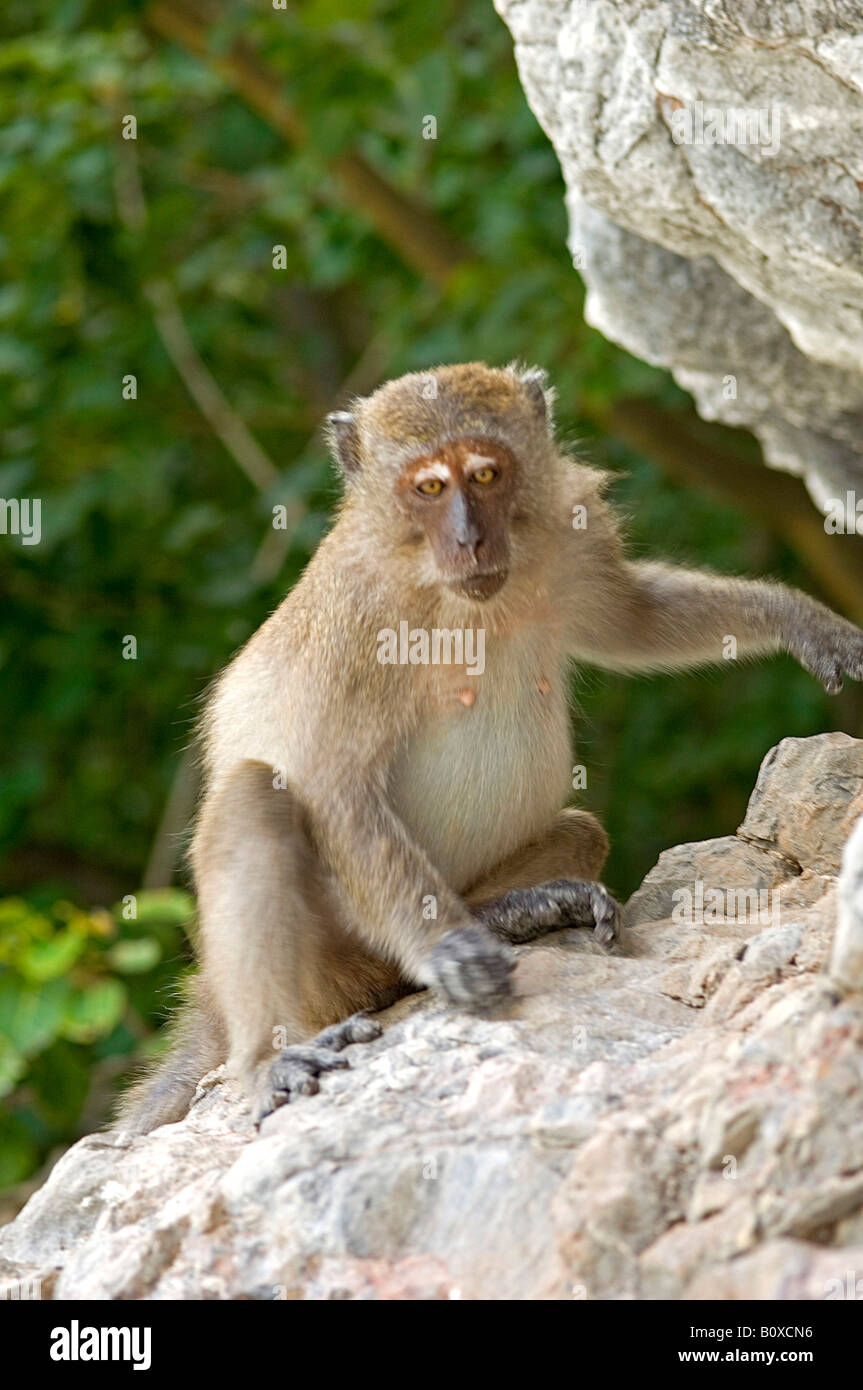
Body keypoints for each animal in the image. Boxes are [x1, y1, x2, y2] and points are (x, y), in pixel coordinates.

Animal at [116, 361, 863, 1134]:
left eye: (484, 474)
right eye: (428, 488)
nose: (468, 538)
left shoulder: (568, 537)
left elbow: (631, 618)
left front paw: (797, 618)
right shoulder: (353, 616)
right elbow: (333, 783)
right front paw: (445, 947)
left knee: (582, 831)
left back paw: (512, 912)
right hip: (326, 964)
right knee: (252, 796)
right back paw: (271, 1055)